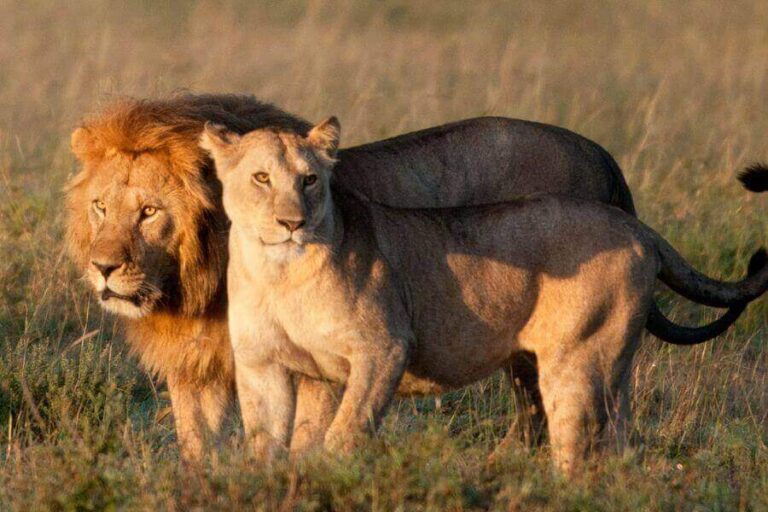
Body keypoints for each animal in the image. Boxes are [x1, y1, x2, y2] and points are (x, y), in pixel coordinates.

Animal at [66, 93, 747, 463]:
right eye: (100, 207)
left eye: (149, 212)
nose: (105, 268)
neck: (191, 284)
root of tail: (605, 159)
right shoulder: (204, 371)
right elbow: (203, 449)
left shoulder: (330, 367)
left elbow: (319, 439)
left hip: (556, 349)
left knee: (553, 419)